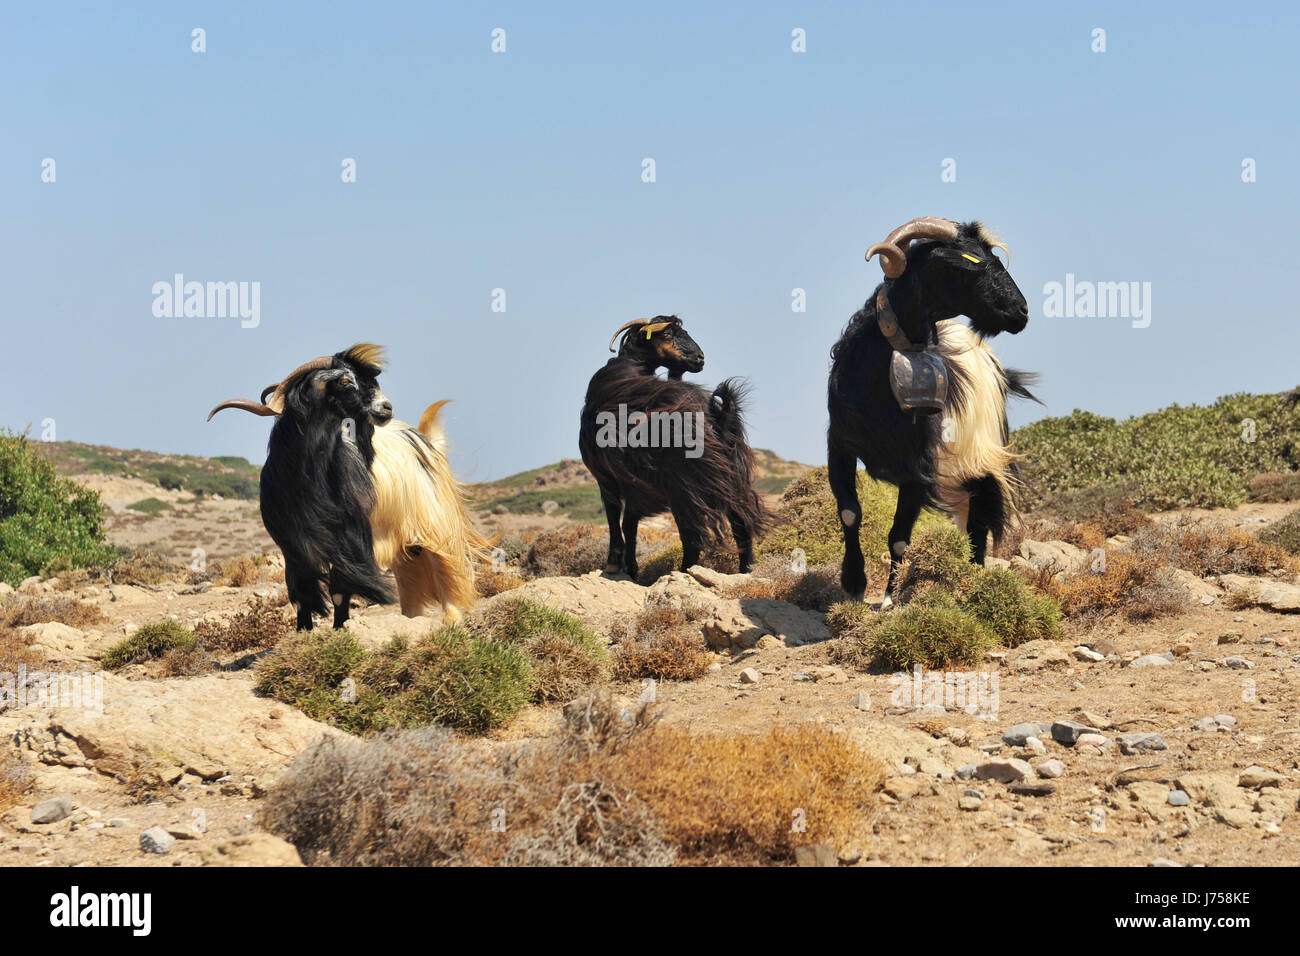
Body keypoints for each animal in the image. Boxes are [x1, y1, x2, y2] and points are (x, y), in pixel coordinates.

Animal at [208, 344, 396, 630]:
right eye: (345, 381)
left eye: (373, 381)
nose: (386, 408)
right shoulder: (293, 546)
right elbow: (300, 594)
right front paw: (303, 629)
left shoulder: (350, 536)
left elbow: (341, 589)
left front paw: (340, 627)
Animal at [579, 316, 768, 580]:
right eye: (667, 334)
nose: (699, 358)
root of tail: (718, 414)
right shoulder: (635, 485)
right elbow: (629, 523)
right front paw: (631, 569)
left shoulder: (605, 476)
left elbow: (614, 516)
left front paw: (614, 565)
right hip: (729, 477)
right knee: (740, 522)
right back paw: (746, 570)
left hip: (685, 488)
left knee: (693, 536)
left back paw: (683, 571)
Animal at [826, 218, 1040, 604]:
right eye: (967, 263)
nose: (1021, 312)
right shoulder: (839, 444)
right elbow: (850, 512)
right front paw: (853, 583)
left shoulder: (918, 467)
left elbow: (899, 536)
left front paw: (889, 598)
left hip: (979, 458)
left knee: (978, 521)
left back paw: (973, 579)